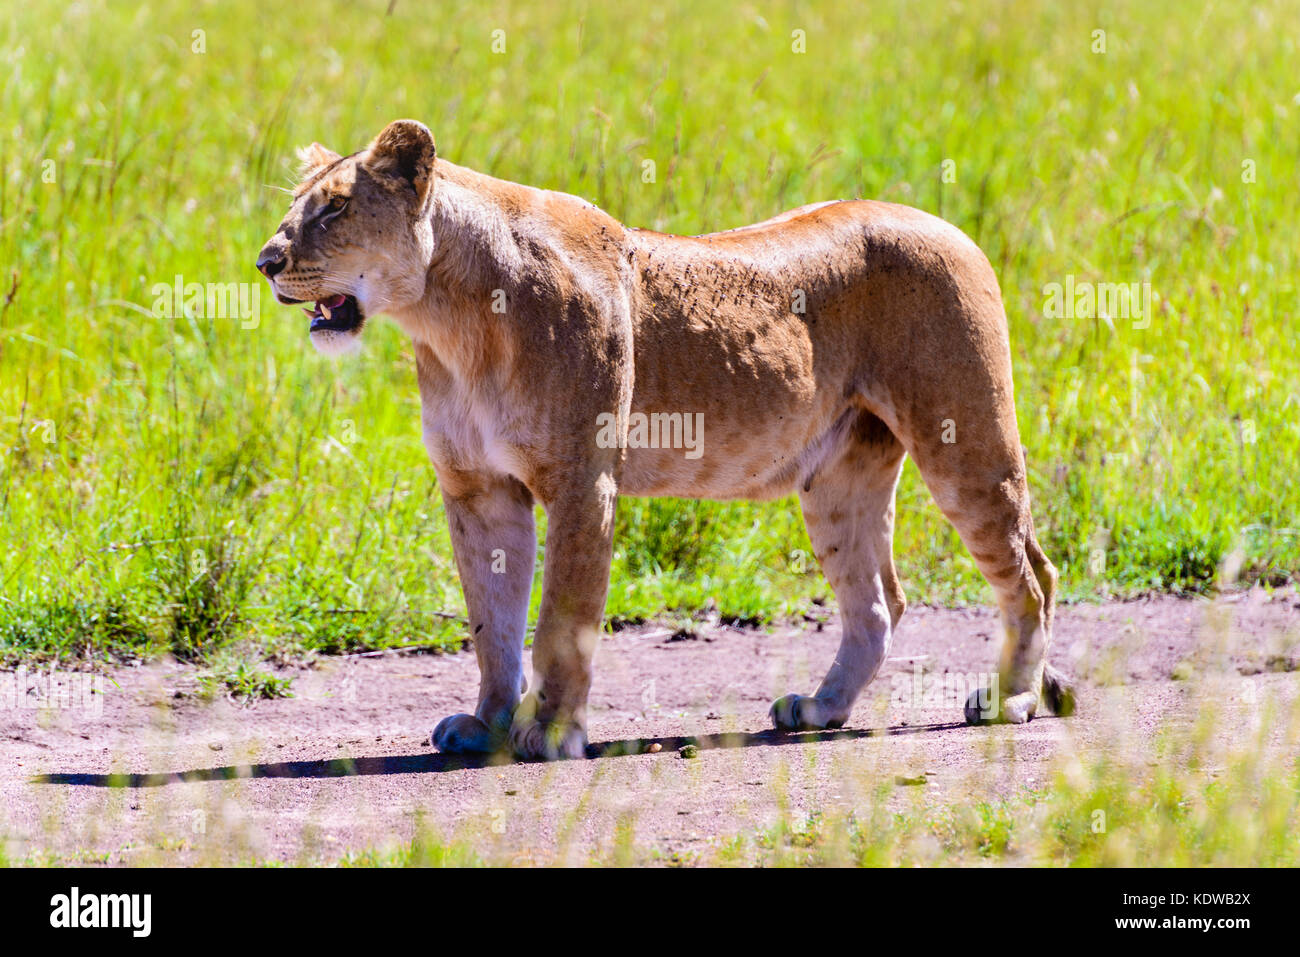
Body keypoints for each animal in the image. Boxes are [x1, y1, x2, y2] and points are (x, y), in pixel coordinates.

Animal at [257, 119, 1075, 761]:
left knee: (1032, 575)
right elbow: (492, 619)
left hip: (965, 440)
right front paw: (487, 725)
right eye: (297, 208)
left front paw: (549, 733)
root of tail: (952, 226)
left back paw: (1009, 699)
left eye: (335, 208)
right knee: (879, 603)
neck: (446, 321)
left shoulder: (582, 479)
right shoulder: (478, 488)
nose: (265, 262)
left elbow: (561, 618)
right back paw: (820, 709)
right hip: (840, 476)